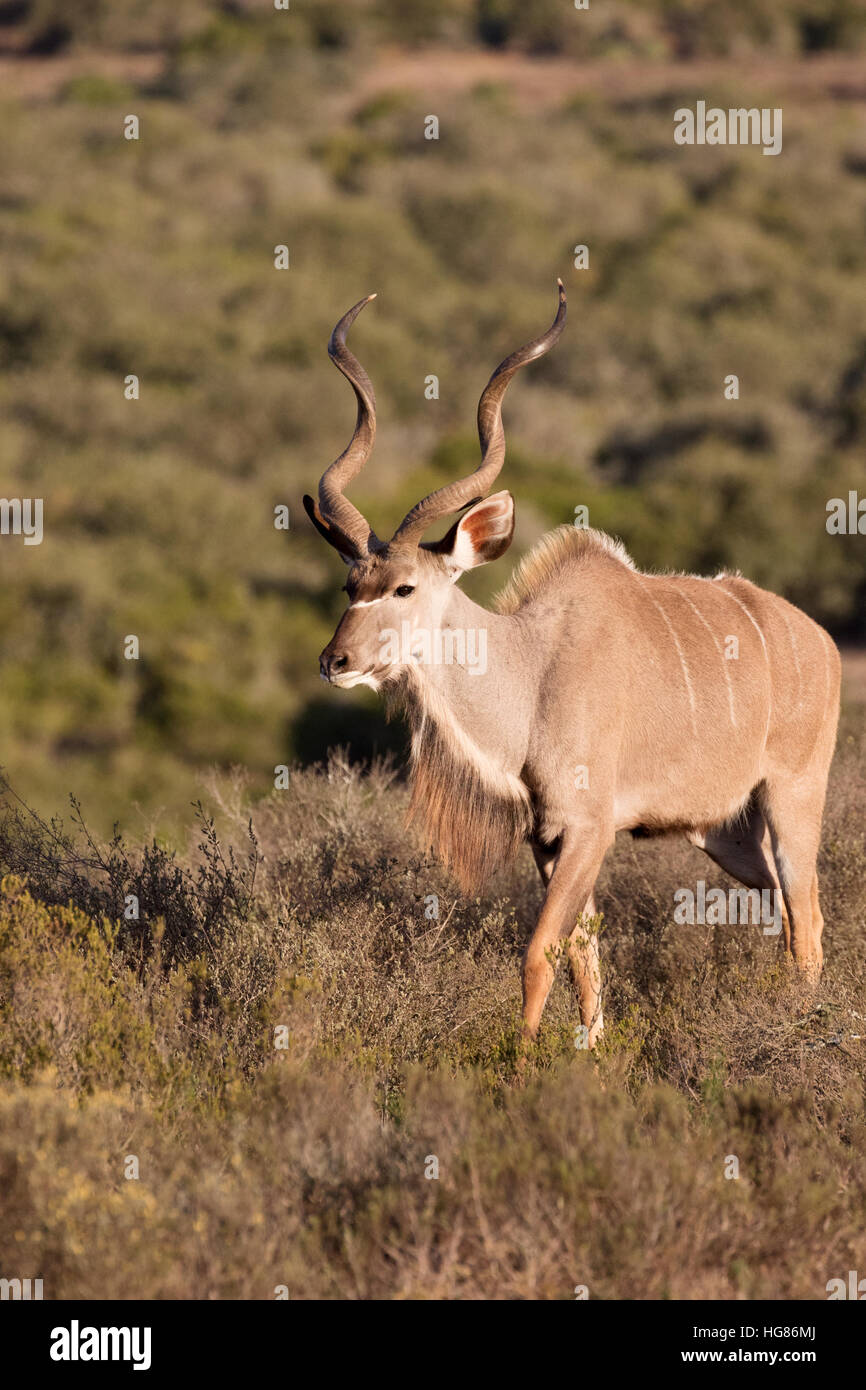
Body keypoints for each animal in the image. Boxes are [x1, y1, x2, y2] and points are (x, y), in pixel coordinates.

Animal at [305, 283, 841, 1047]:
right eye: (352, 585)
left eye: (404, 588)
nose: (335, 660)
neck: (532, 675)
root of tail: (819, 639)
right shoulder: (548, 837)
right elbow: (583, 951)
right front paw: (591, 1050)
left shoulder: (589, 828)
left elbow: (541, 951)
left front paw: (524, 1057)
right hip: (727, 835)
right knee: (789, 913)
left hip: (793, 795)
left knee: (809, 917)